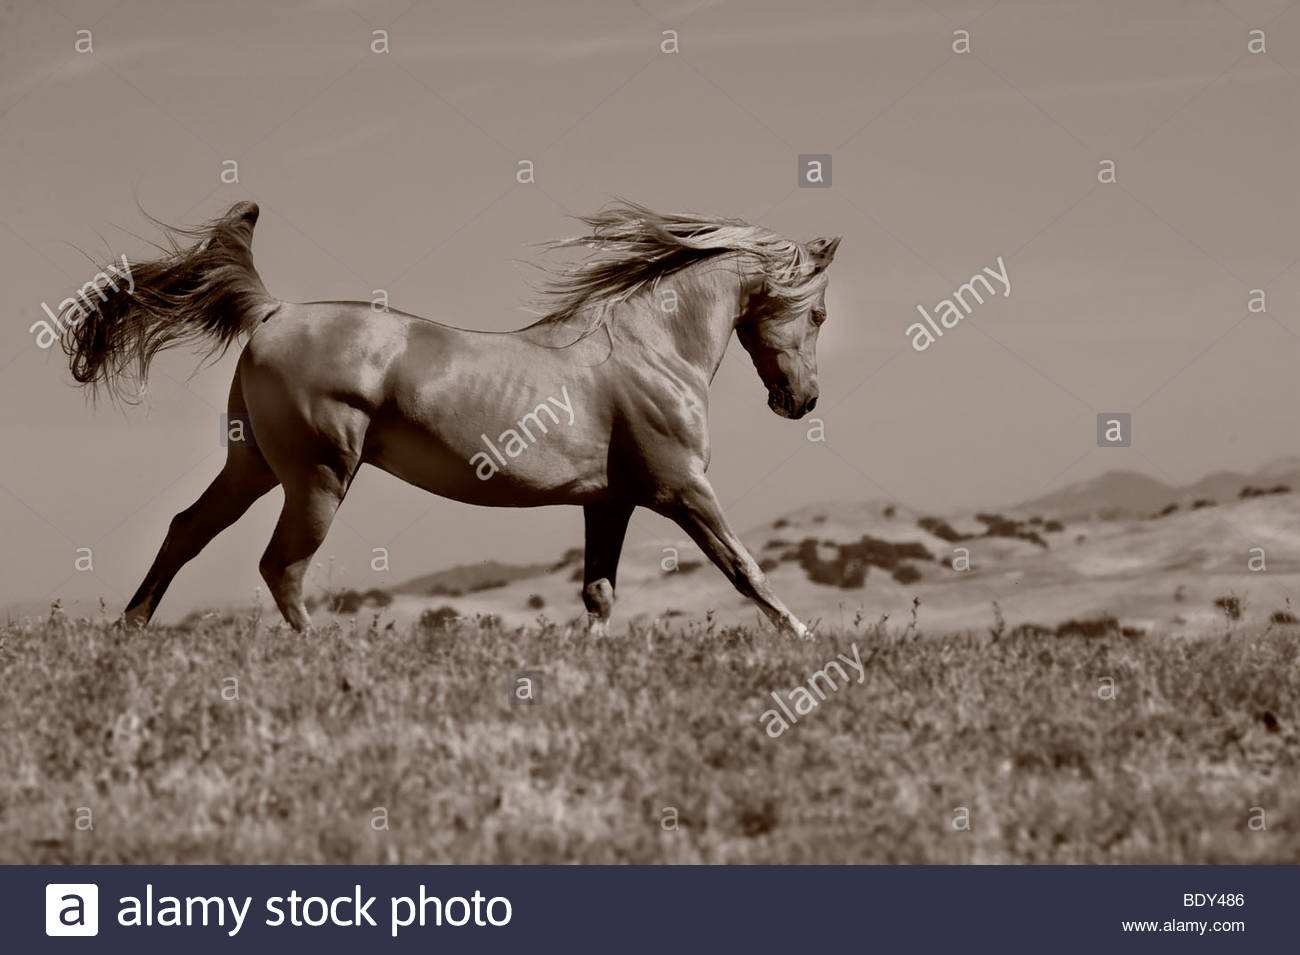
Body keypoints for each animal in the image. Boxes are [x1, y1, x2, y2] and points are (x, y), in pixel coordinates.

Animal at [60, 200, 840, 638]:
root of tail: (274, 311)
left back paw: (130, 630)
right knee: (281, 565)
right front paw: (805, 639)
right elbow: (745, 568)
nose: (800, 401)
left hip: (252, 465)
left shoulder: (608, 501)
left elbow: (600, 595)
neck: (651, 348)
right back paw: (329, 651)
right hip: (318, 475)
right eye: (820, 314)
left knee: (187, 529)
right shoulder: (682, 488)